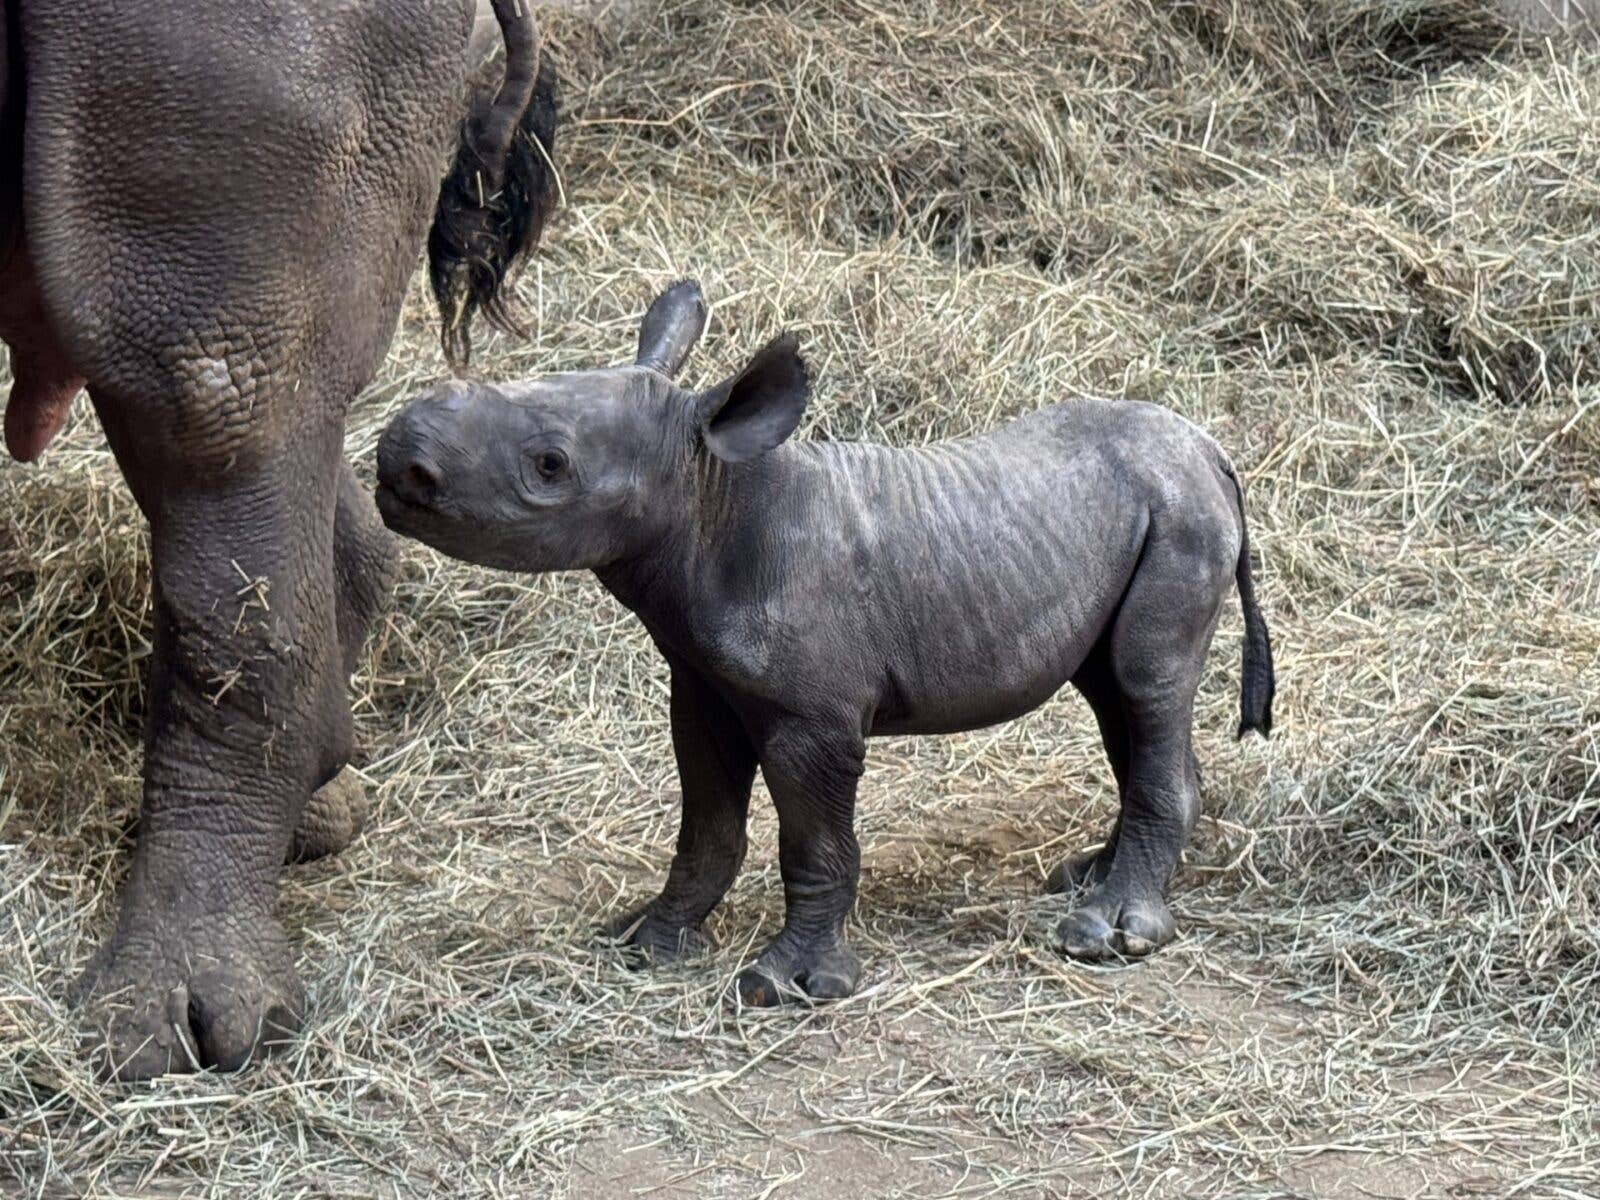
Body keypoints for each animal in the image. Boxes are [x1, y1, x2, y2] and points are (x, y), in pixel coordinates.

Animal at [375, 281, 1275, 1005]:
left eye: (550, 466)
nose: (394, 461)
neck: (706, 491)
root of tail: (1215, 451)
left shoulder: (815, 716)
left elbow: (811, 842)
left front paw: (789, 985)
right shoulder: (702, 685)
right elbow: (705, 824)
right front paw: (648, 942)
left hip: (1181, 514)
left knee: (1145, 679)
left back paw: (1107, 934)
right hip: (1141, 514)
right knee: (1114, 693)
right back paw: (1087, 877)